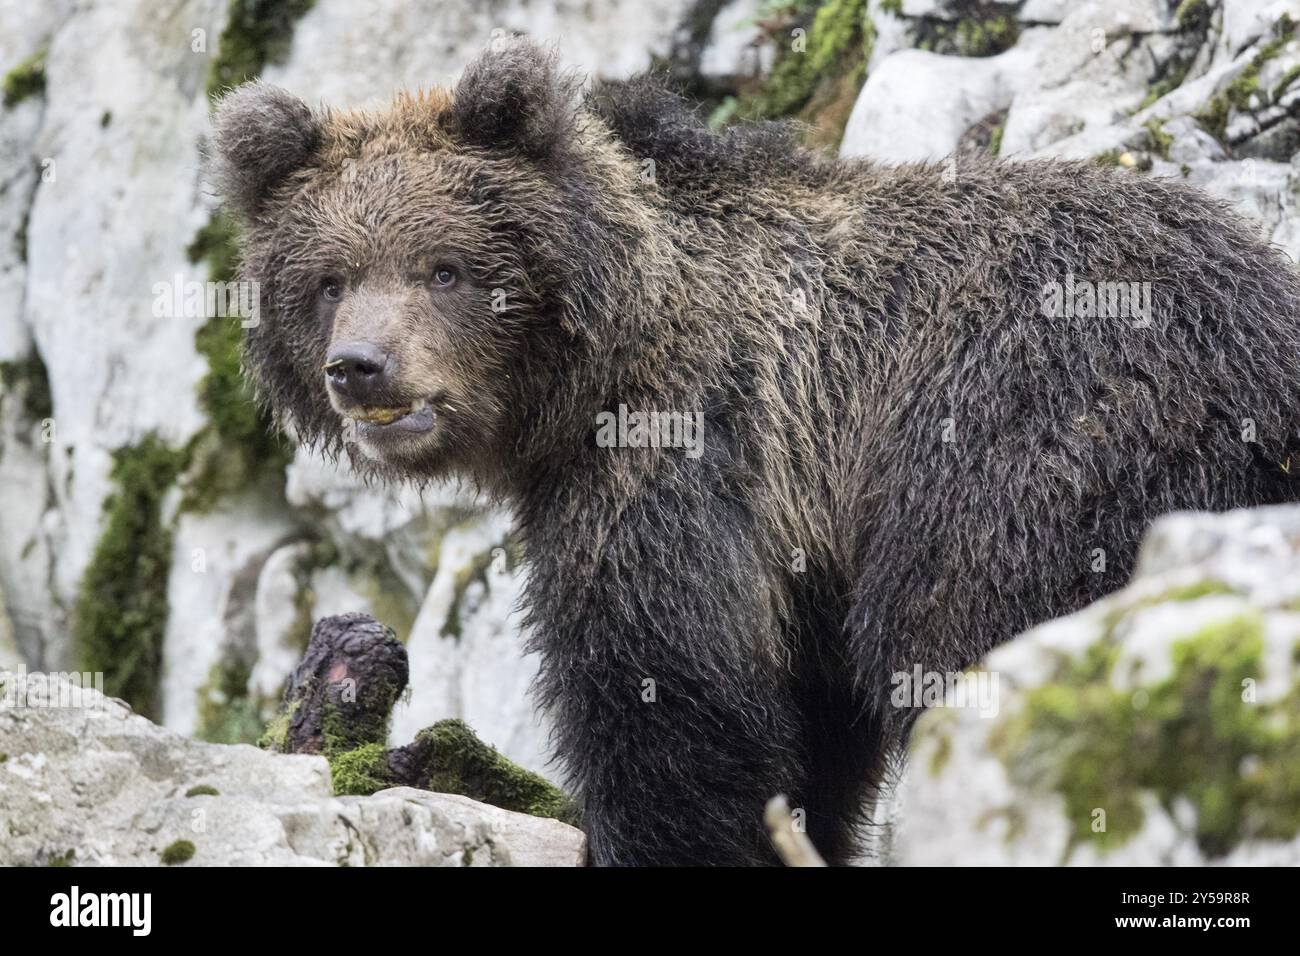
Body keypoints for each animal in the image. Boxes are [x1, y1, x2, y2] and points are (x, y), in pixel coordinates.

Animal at [210, 40, 1300, 866]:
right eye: (328, 278)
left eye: (443, 266)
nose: (362, 368)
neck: (597, 367)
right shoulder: (802, 560)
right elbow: (809, 736)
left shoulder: (689, 454)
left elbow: (672, 697)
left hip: (1036, 438)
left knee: (977, 626)